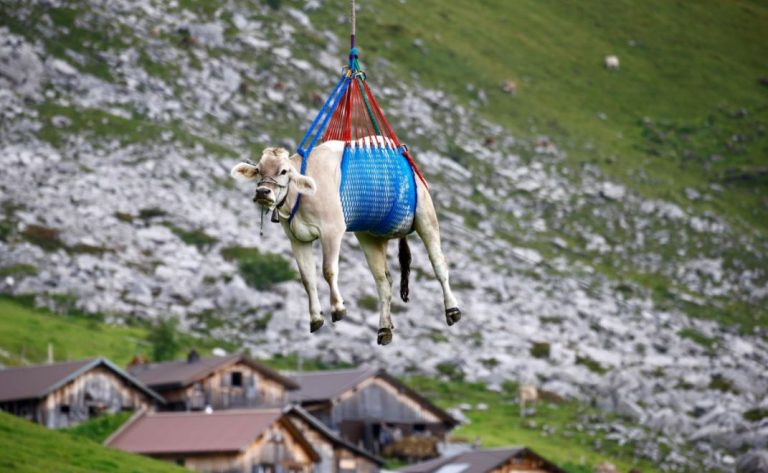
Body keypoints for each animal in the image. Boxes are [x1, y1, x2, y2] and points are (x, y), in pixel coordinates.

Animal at [230, 142, 461, 345]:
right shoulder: (297, 239)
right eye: (259, 170)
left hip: (425, 215)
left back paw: (452, 309)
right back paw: (384, 329)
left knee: (439, 264)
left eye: (284, 171)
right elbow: (307, 279)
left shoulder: (332, 230)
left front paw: (337, 308)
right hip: (369, 236)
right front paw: (316, 318)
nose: (262, 192)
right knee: (383, 282)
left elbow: (328, 270)